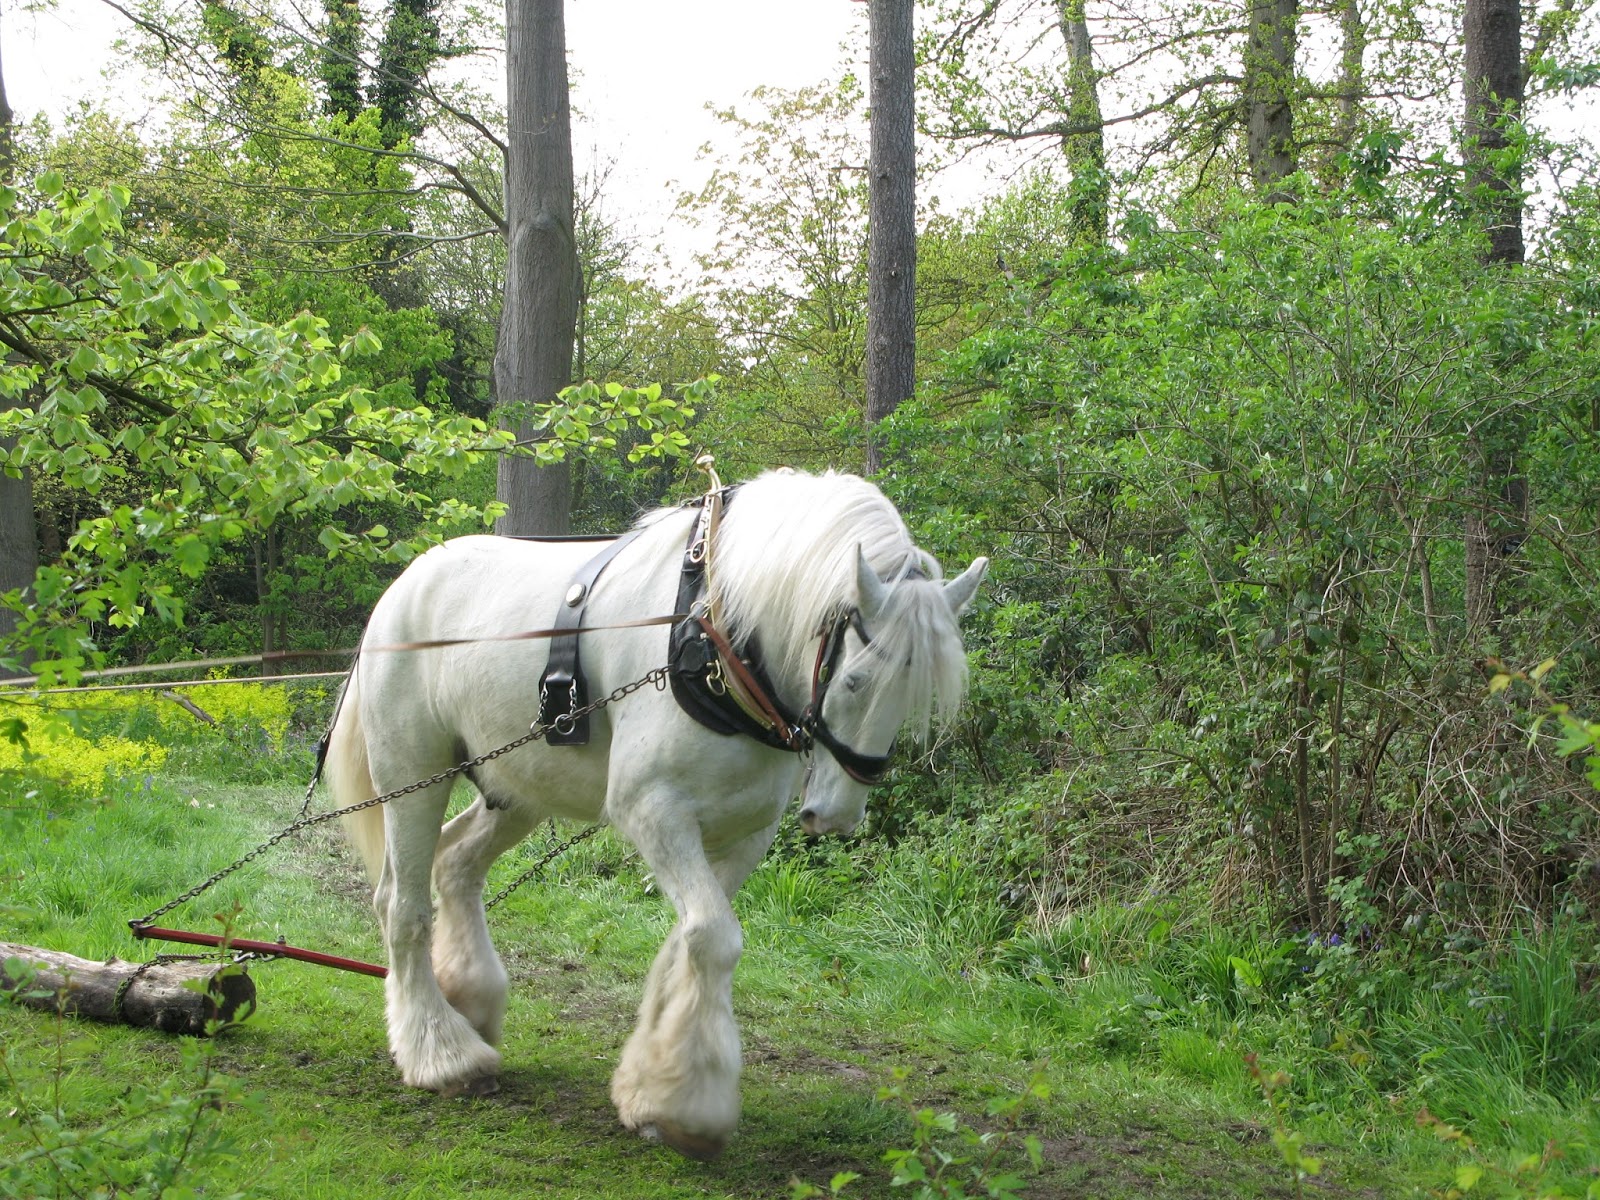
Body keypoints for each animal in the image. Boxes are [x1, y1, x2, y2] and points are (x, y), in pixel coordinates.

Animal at [325, 468, 987, 1159]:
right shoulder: (652, 809)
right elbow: (714, 936)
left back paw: (469, 1004)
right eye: (856, 680)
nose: (836, 815)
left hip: (516, 786)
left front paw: (652, 1082)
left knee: (454, 864)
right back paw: (442, 1051)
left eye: (914, 699)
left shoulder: (744, 833)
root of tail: (403, 586)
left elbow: (690, 941)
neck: (715, 633)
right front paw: (687, 1109)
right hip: (412, 775)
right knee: (402, 905)